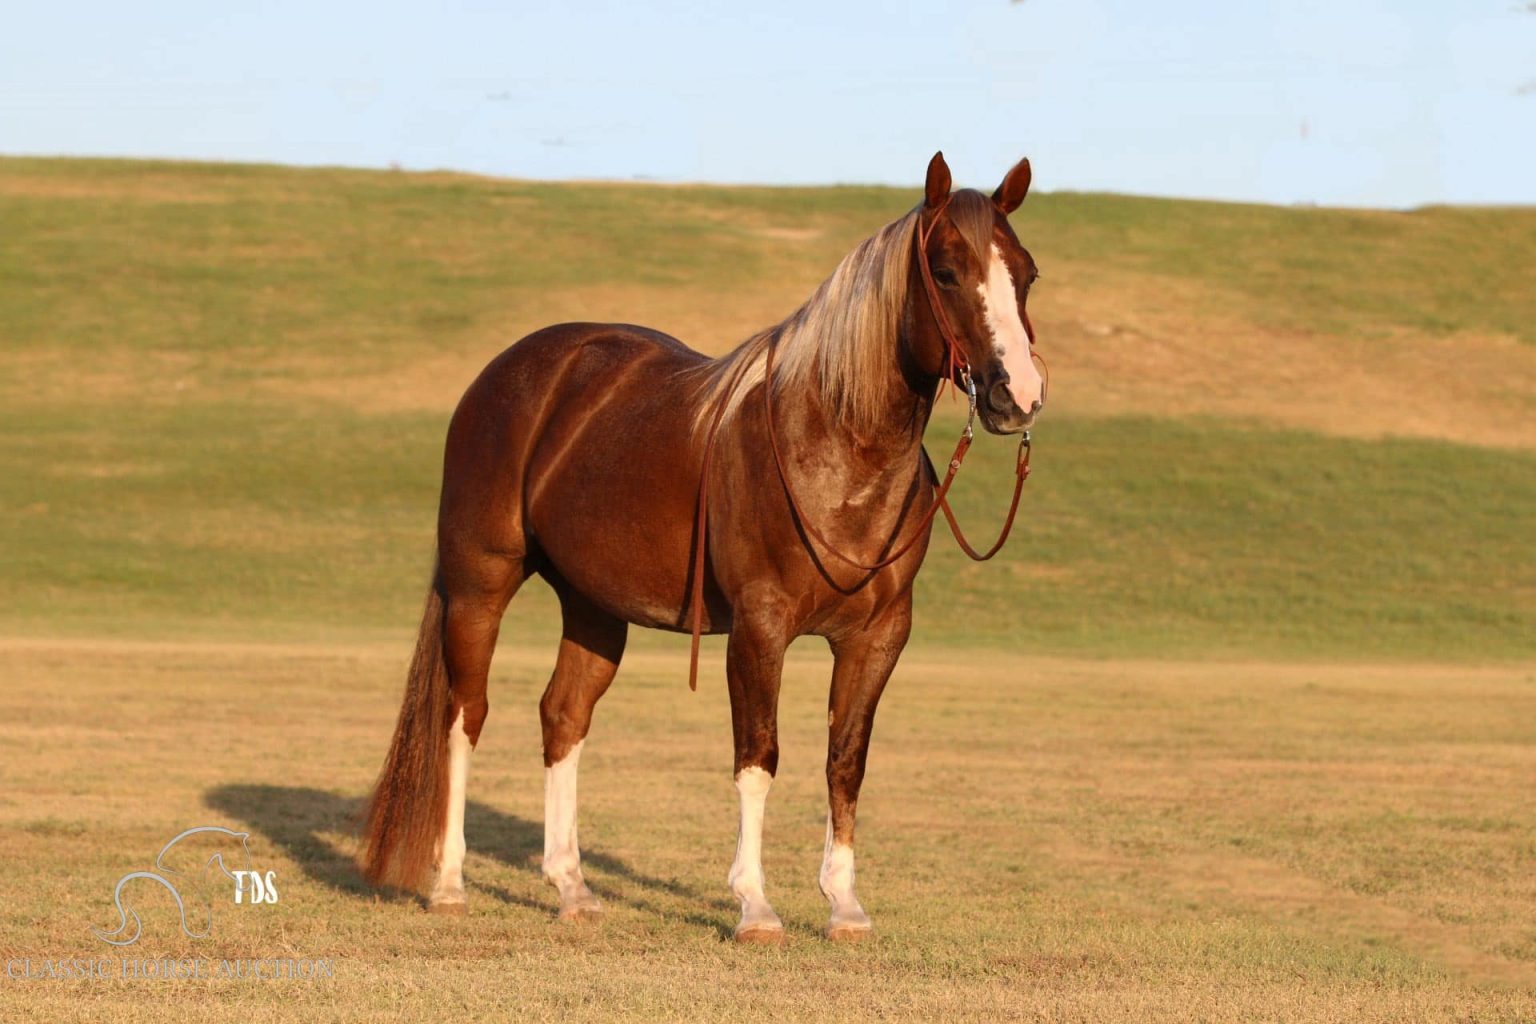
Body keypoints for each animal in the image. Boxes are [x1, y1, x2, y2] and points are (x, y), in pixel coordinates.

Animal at [358, 151, 1045, 943]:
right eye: (945, 270)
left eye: (1027, 273)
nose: (1019, 395)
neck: (835, 451)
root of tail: (509, 374)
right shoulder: (758, 629)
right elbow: (759, 756)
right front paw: (755, 905)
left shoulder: (878, 636)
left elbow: (845, 762)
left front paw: (843, 905)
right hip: (480, 587)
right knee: (464, 717)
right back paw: (448, 883)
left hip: (593, 608)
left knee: (563, 718)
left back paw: (572, 888)